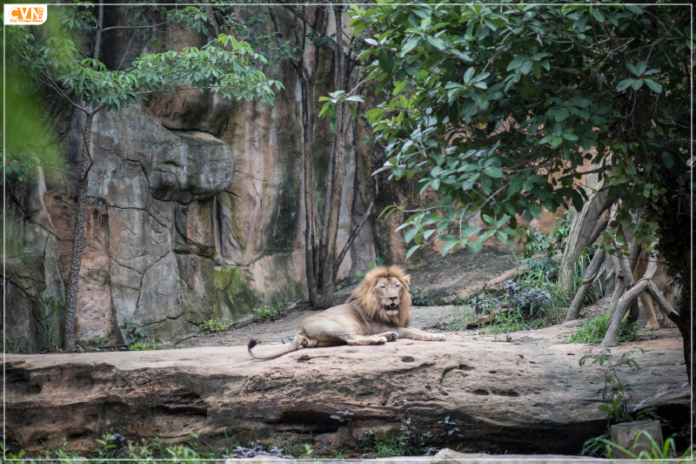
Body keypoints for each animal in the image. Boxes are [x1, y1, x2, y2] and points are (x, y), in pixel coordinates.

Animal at [247, 266, 445, 359]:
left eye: (397, 286)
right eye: (383, 287)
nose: (393, 298)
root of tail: (299, 331)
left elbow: (418, 329)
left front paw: (437, 334)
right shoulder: (386, 327)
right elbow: (415, 332)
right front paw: (435, 337)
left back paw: (389, 336)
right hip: (338, 326)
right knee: (352, 339)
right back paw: (381, 339)